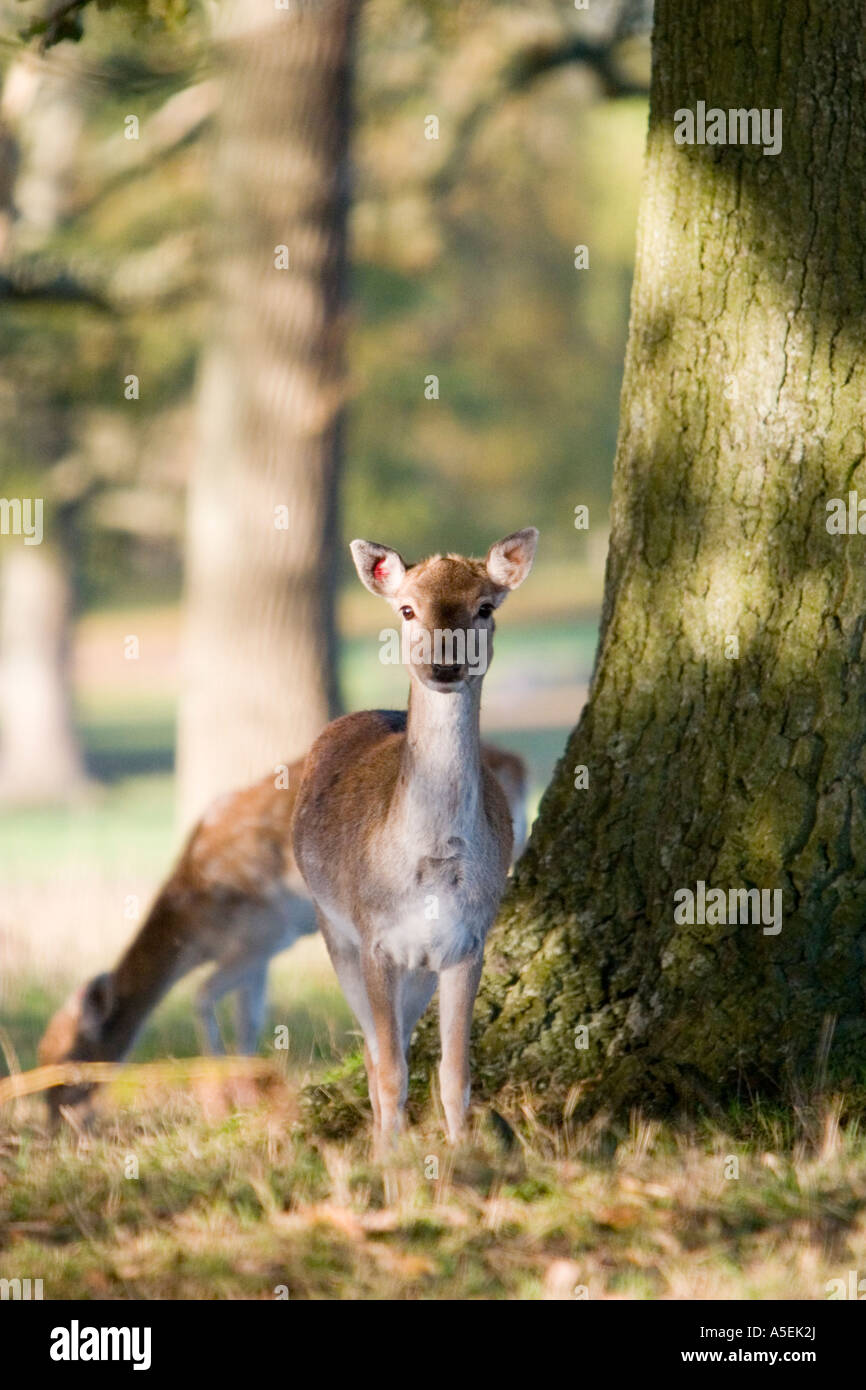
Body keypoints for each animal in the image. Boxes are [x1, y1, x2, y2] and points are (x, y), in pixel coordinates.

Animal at [38, 741, 530, 1122]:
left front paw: (224, 1100)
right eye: (43, 1053)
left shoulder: (264, 935)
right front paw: (243, 1092)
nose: (54, 1123)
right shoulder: (262, 953)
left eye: (72, 1057)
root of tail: (518, 766)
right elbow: (248, 1014)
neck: (198, 928)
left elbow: (204, 997)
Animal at [292, 528, 538, 1149]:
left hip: (417, 967)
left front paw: (463, 1155)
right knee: (377, 1053)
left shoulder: (467, 943)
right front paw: (388, 1161)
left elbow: (454, 1074)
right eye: (407, 609)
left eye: (485, 607)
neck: (432, 863)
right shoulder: (374, 939)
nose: (444, 664)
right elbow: (390, 1070)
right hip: (333, 929)